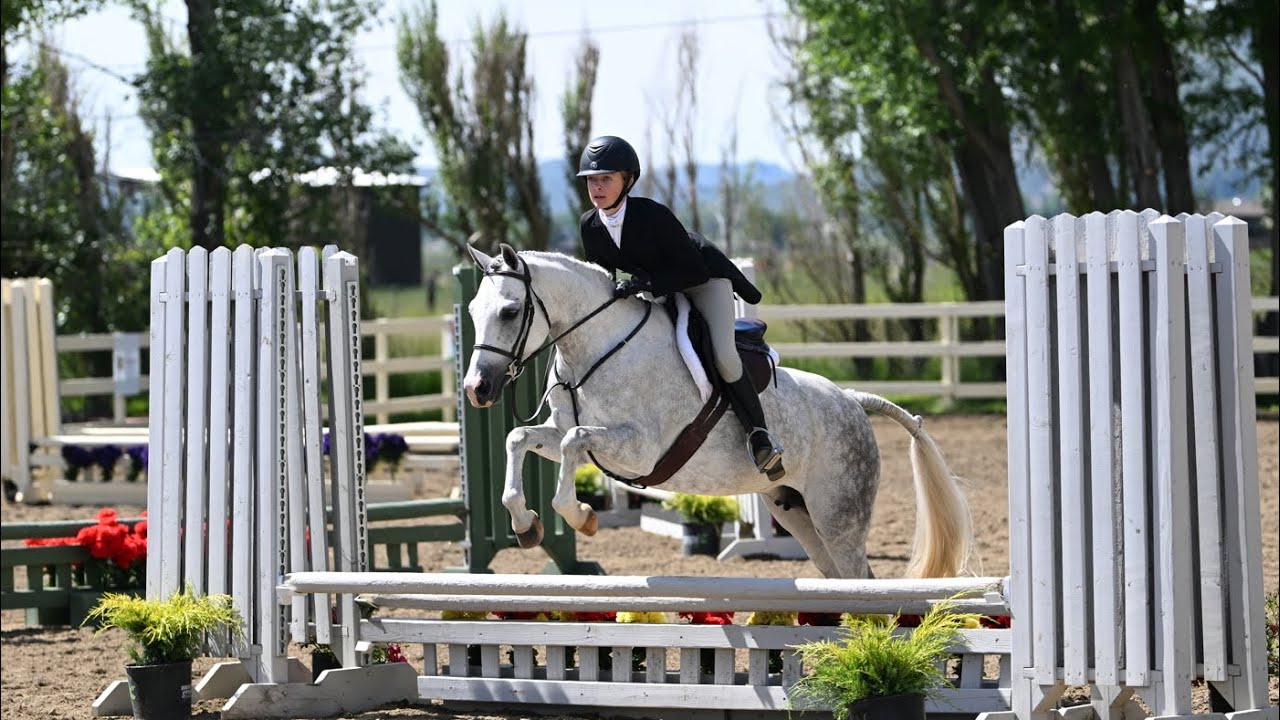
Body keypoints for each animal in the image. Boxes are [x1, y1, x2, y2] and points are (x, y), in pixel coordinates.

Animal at [461, 243, 973, 580]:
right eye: (470, 311)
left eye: (509, 311)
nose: (476, 389)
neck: (597, 347)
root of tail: (852, 400)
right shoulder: (577, 439)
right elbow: (520, 438)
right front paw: (525, 525)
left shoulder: (638, 449)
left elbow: (573, 442)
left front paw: (580, 515)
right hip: (795, 511)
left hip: (838, 513)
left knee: (858, 578)